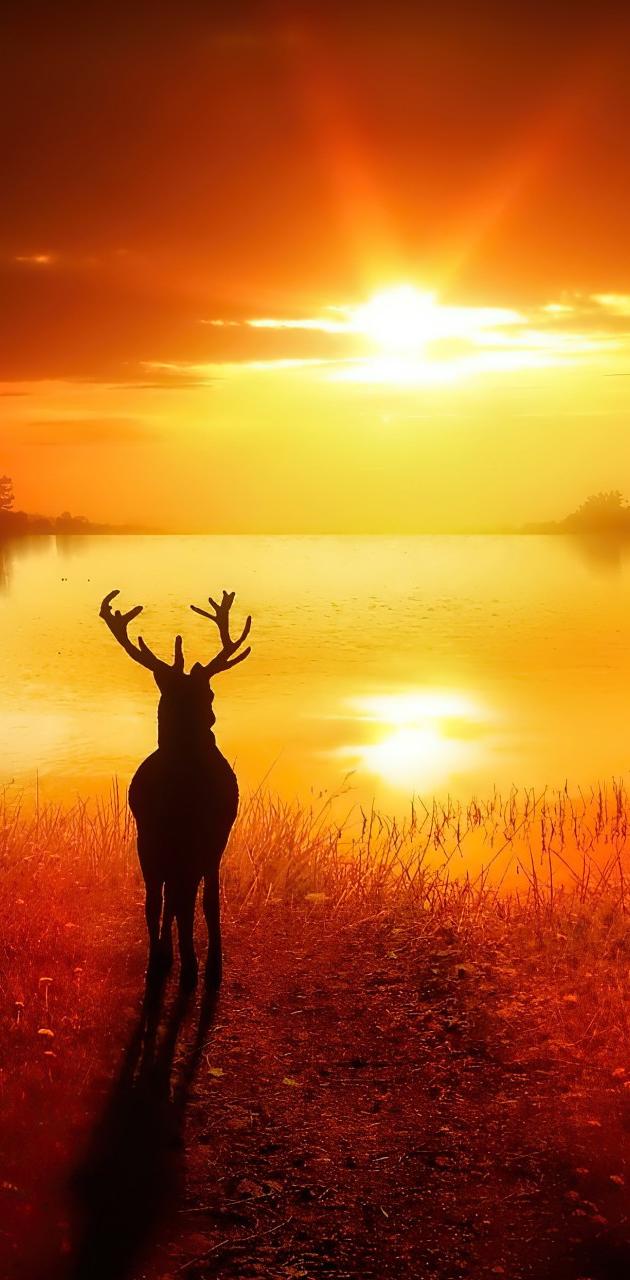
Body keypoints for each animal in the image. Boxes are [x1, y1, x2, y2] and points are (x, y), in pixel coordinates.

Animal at [99, 588, 252, 991]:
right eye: (210, 694)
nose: (211, 713)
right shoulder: (216, 834)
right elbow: (206, 898)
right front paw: (210, 963)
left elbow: (174, 897)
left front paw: (176, 955)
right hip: (183, 838)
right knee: (179, 893)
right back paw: (187, 963)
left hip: (151, 837)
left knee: (158, 895)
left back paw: (161, 957)